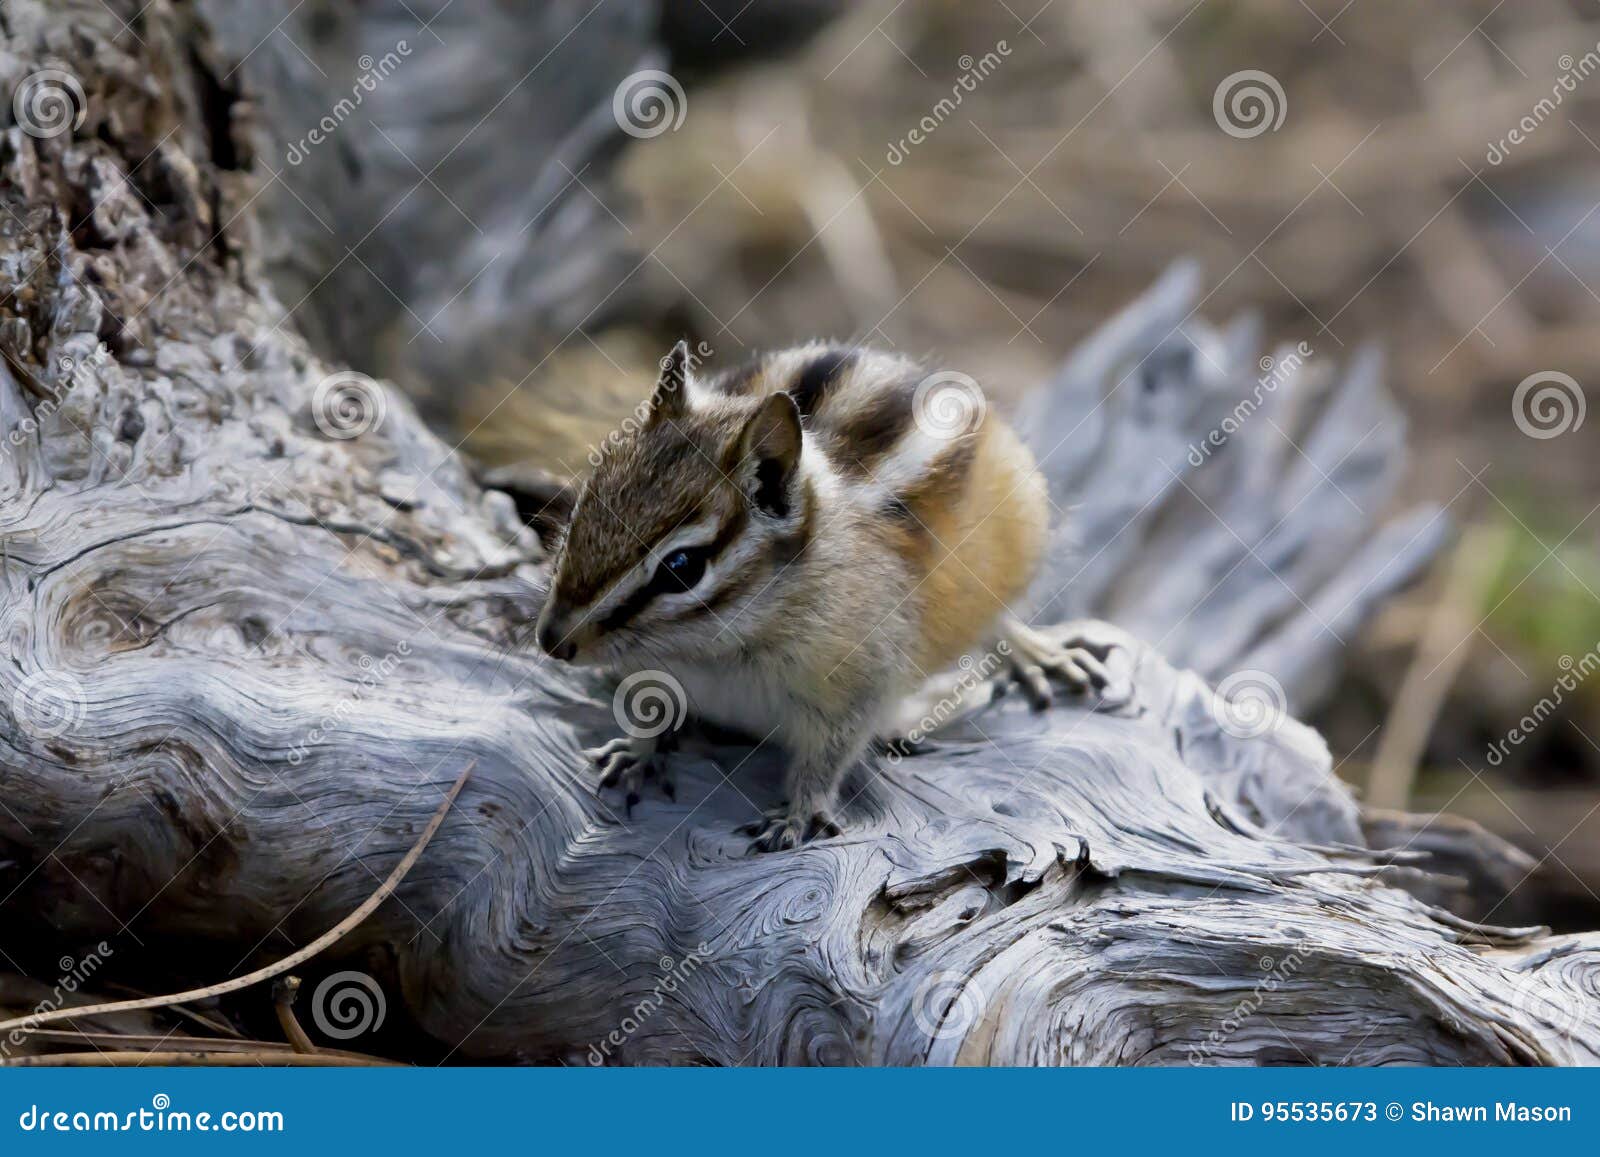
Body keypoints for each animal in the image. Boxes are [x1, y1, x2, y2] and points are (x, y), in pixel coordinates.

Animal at [533, 340, 1112, 852]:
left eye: (681, 569)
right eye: (583, 503)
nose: (552, 640)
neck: (712, 652)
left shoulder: (856, 686)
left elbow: (829, 756)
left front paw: (800, 812)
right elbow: (648, 709)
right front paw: (636, 752)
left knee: (1001, 618)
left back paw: (1037, 654)